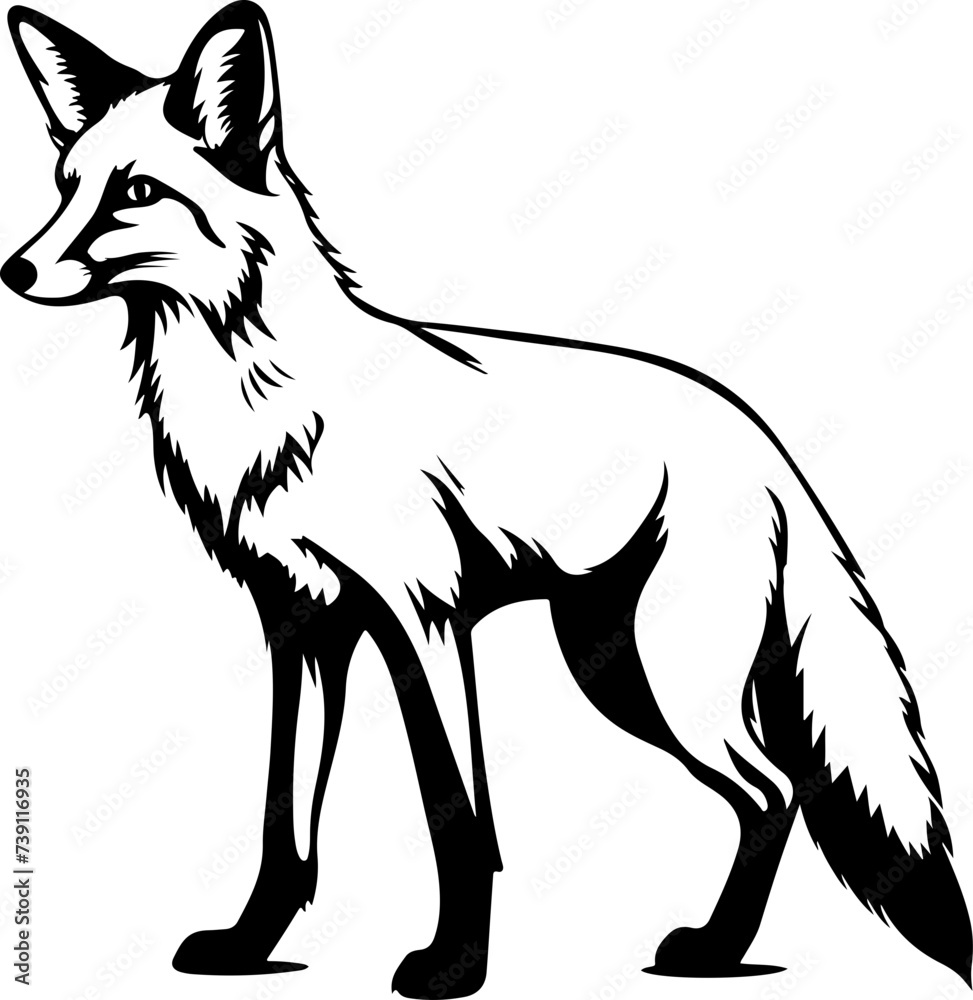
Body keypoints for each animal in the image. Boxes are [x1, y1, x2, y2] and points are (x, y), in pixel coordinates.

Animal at [3, 2, 971, 995]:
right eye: (64, 185)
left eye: (136, 193)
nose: (16, 271)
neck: (268, 405)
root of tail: (762, 435)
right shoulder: (300, 624)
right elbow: (287, 821)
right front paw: (249, 946)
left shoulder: (422, 619)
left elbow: (458, 817)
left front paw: (454, 966)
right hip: (608, 665)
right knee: (769, 796)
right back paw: (718, 948)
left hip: (663, 680)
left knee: (774, 793)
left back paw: (713, 953)